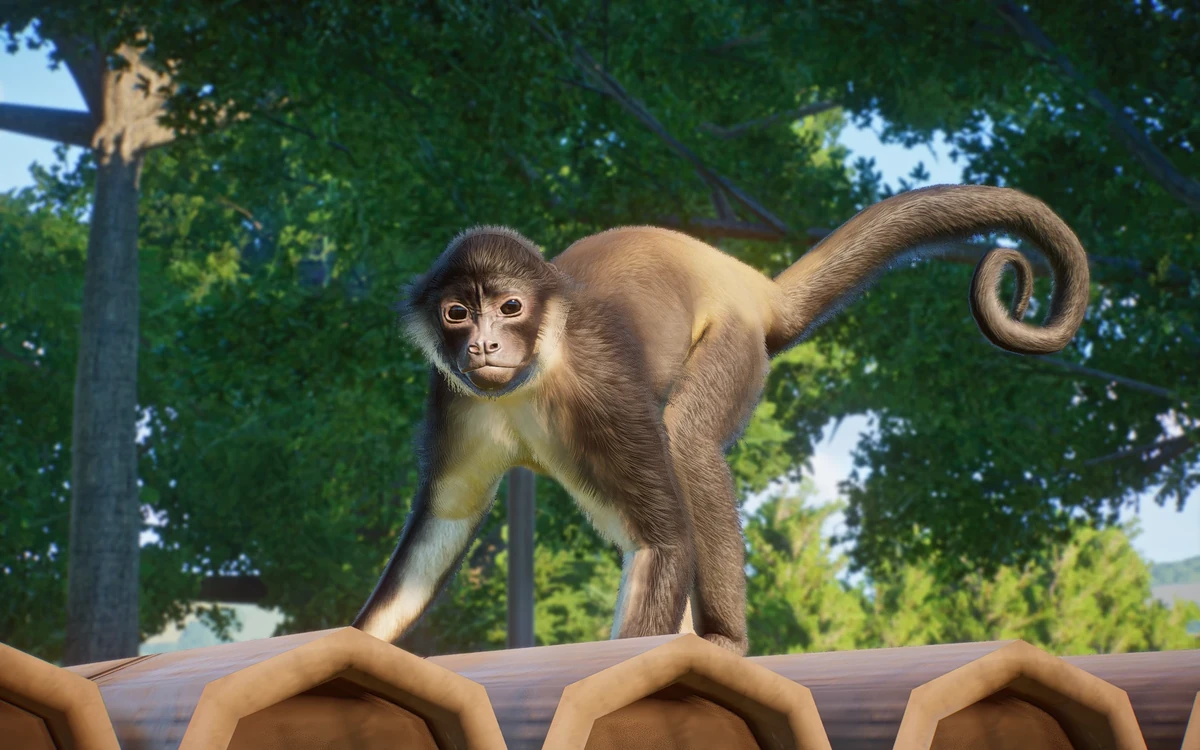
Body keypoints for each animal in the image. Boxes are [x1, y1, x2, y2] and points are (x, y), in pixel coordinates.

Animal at [351, 183, 1090, 656]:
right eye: (457, 313)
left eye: (508, 307)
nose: (483, 344)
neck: (534, 376)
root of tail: (742, 277)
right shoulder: (456, 394)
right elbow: (448, 516)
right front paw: (355, 639)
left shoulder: (597, 381)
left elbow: (663, 540)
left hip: (734, 339)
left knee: (685, 439)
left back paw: (726, 640)